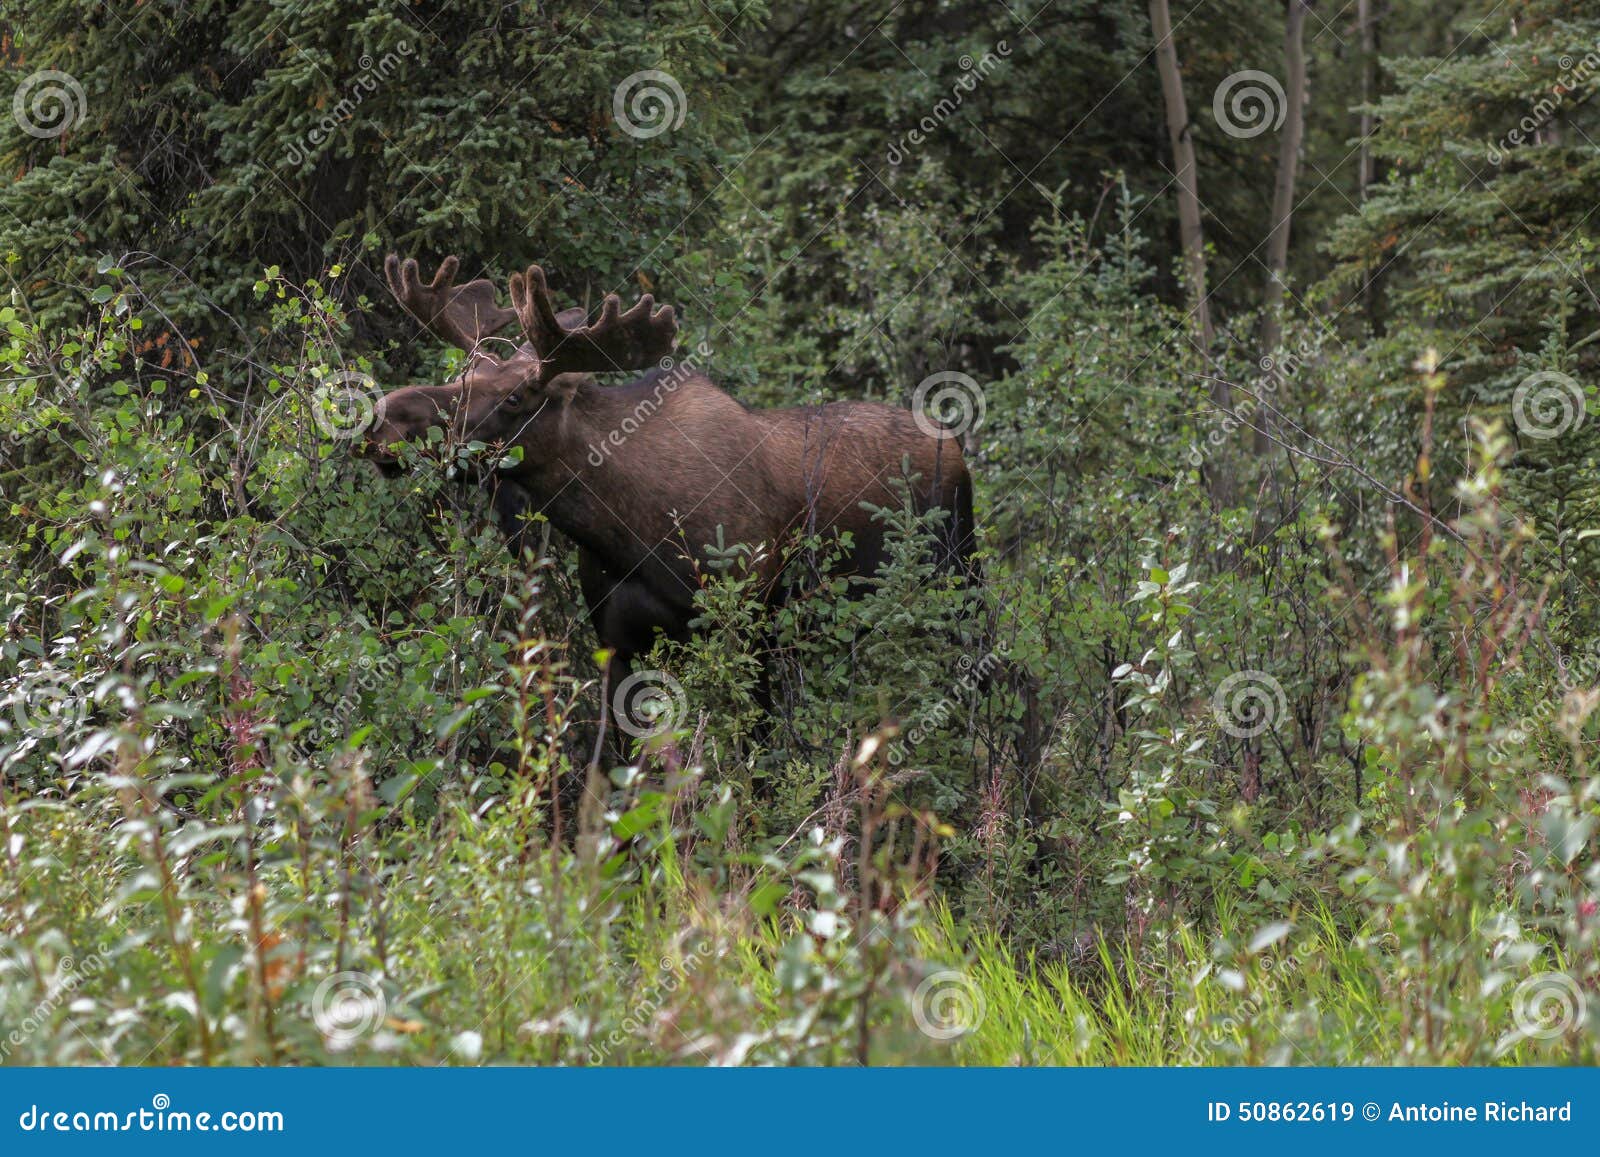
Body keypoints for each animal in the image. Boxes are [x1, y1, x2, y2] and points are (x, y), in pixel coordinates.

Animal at [358, 254, 978, 737]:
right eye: (463, 373)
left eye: (514, 397)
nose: (382, 419)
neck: (629, 532)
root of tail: (955, 447)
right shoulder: (614, 638)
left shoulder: (747, 628)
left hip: (958, 581)